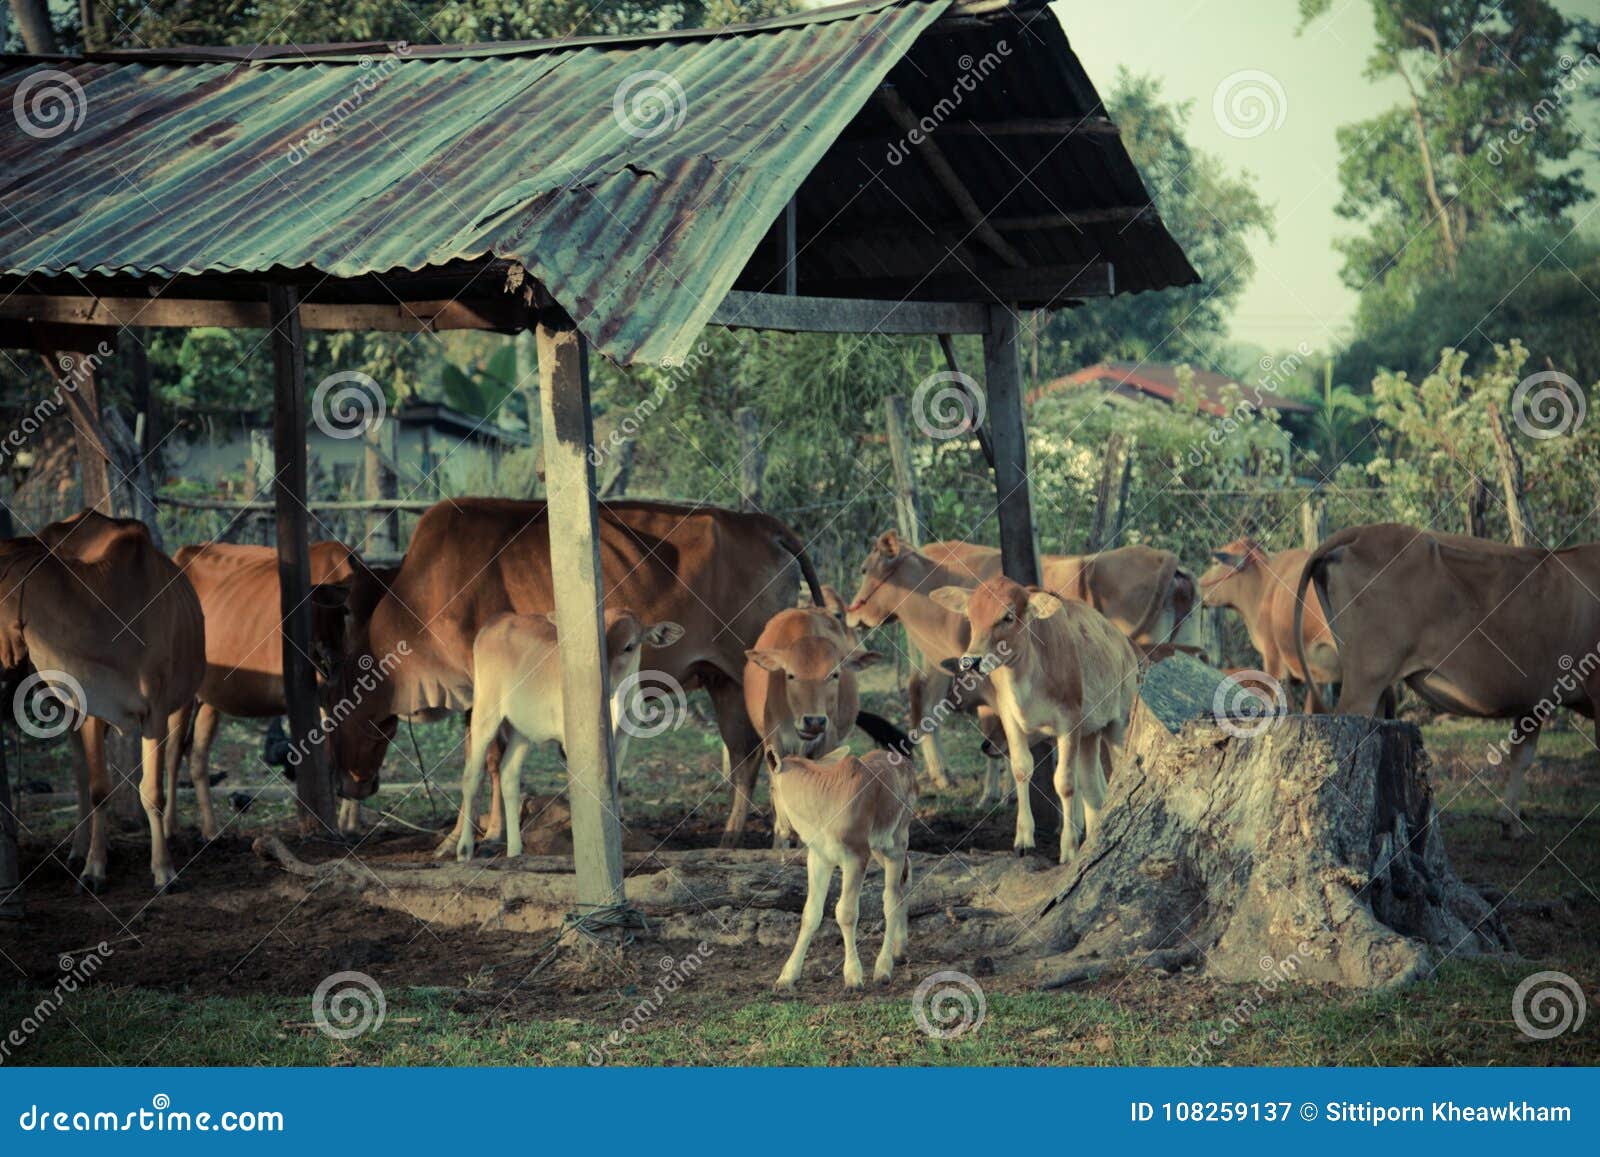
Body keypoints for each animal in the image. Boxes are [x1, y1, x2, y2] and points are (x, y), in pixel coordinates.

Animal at [0, 511, 204, 891]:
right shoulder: (90, 707)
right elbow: (98, 789)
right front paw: (94, 867)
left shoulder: (156, 713)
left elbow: (152, 790)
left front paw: (164, 869)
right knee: (81, 772)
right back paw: (79, 850)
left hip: (181, 702)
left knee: (171, 761)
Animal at [168, 540, 362, 839]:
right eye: (345, 611)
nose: (329, 660)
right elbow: (326, 760)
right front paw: (325, 825)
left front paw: (350, 823)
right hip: (181, 691)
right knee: (172, 751)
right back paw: (171, 826)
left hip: (210, 698)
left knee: (195, 753)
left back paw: (210, 830)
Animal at [454, 609, 683, 861]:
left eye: (629, 646)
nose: (605, 685)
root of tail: (496, 621)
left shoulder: (622, 740)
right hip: (485, 710)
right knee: (472, 776)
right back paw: (464, 849)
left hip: (522, 730)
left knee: (508, 773)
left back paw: (515, 850)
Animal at [768, 745, 916, 990]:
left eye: (771, 788)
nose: (780, 829)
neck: (824, 799)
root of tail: (907, 765)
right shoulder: (819, 859)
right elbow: (810, 913)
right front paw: (787, 976)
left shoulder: (856, 857)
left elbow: (846, 913)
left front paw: (853, 976)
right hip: (878, 849)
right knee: (906, 875)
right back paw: (900, 949)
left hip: (895, 844)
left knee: (891, 897)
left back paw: (883, 968)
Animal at [932, 577, 1139, 862]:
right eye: (970, 616)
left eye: (1007, 616)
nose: (971, 661)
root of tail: (1124, 644)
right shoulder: (1012, 722)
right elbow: (1021, 769)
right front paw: (1024, 840)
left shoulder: (1069, 724)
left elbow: (1064, 783)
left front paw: (1068, 850)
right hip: (1090, 734)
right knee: (1093, 788)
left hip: (1119, 724)